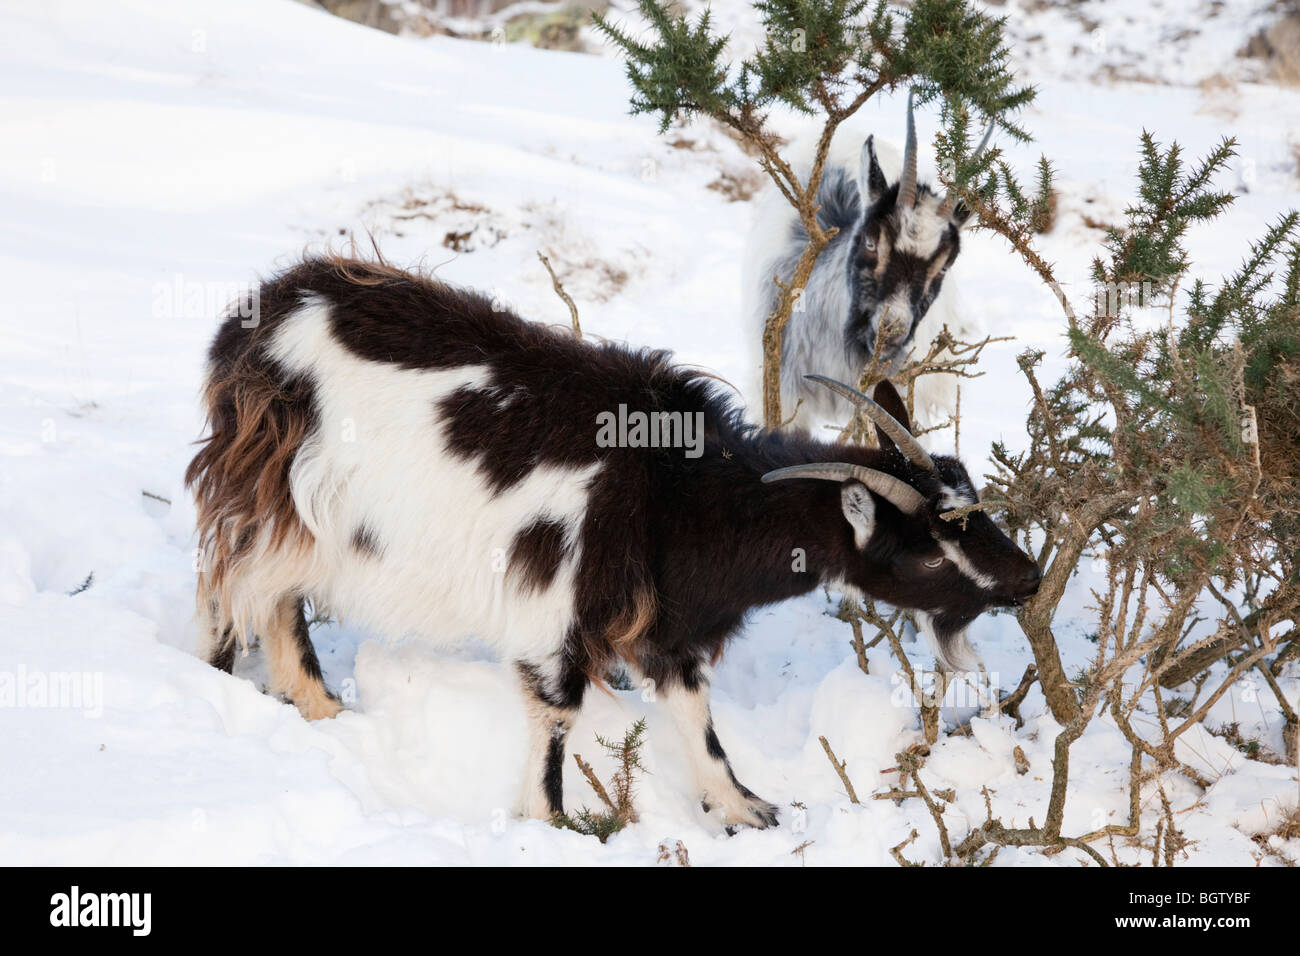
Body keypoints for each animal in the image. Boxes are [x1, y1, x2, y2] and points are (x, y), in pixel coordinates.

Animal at [186, 255, 1041, 830]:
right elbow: (557, 719)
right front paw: (551, 824)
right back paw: (248, 689)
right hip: (278, 492)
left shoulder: (670, 619)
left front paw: (745, 808)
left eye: (973, 508)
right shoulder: (554, 605)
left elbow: (698, 716)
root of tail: (261, 312)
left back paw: (319, 709)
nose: (1028, 578)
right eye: (924, 549)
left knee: (270, 595)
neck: (676, 494)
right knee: (234, 582)